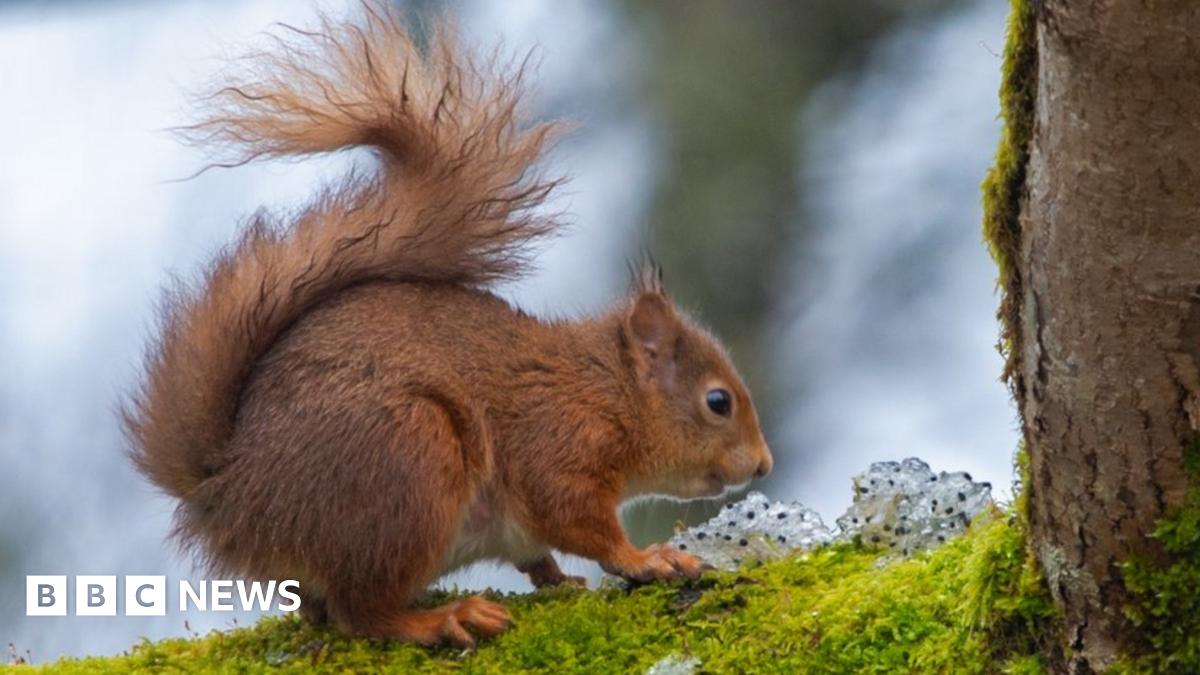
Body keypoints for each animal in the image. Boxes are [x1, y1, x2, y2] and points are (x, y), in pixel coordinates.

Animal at [125, 1, 773, 648]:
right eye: (718, 402)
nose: (764, 465)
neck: (603, 389)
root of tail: (229, 496)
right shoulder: (557, 445)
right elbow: (578, 522)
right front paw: (647, 559)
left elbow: (536, 554)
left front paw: (562, 580)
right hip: (409, 462)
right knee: (362, 611)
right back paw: (443, 618)